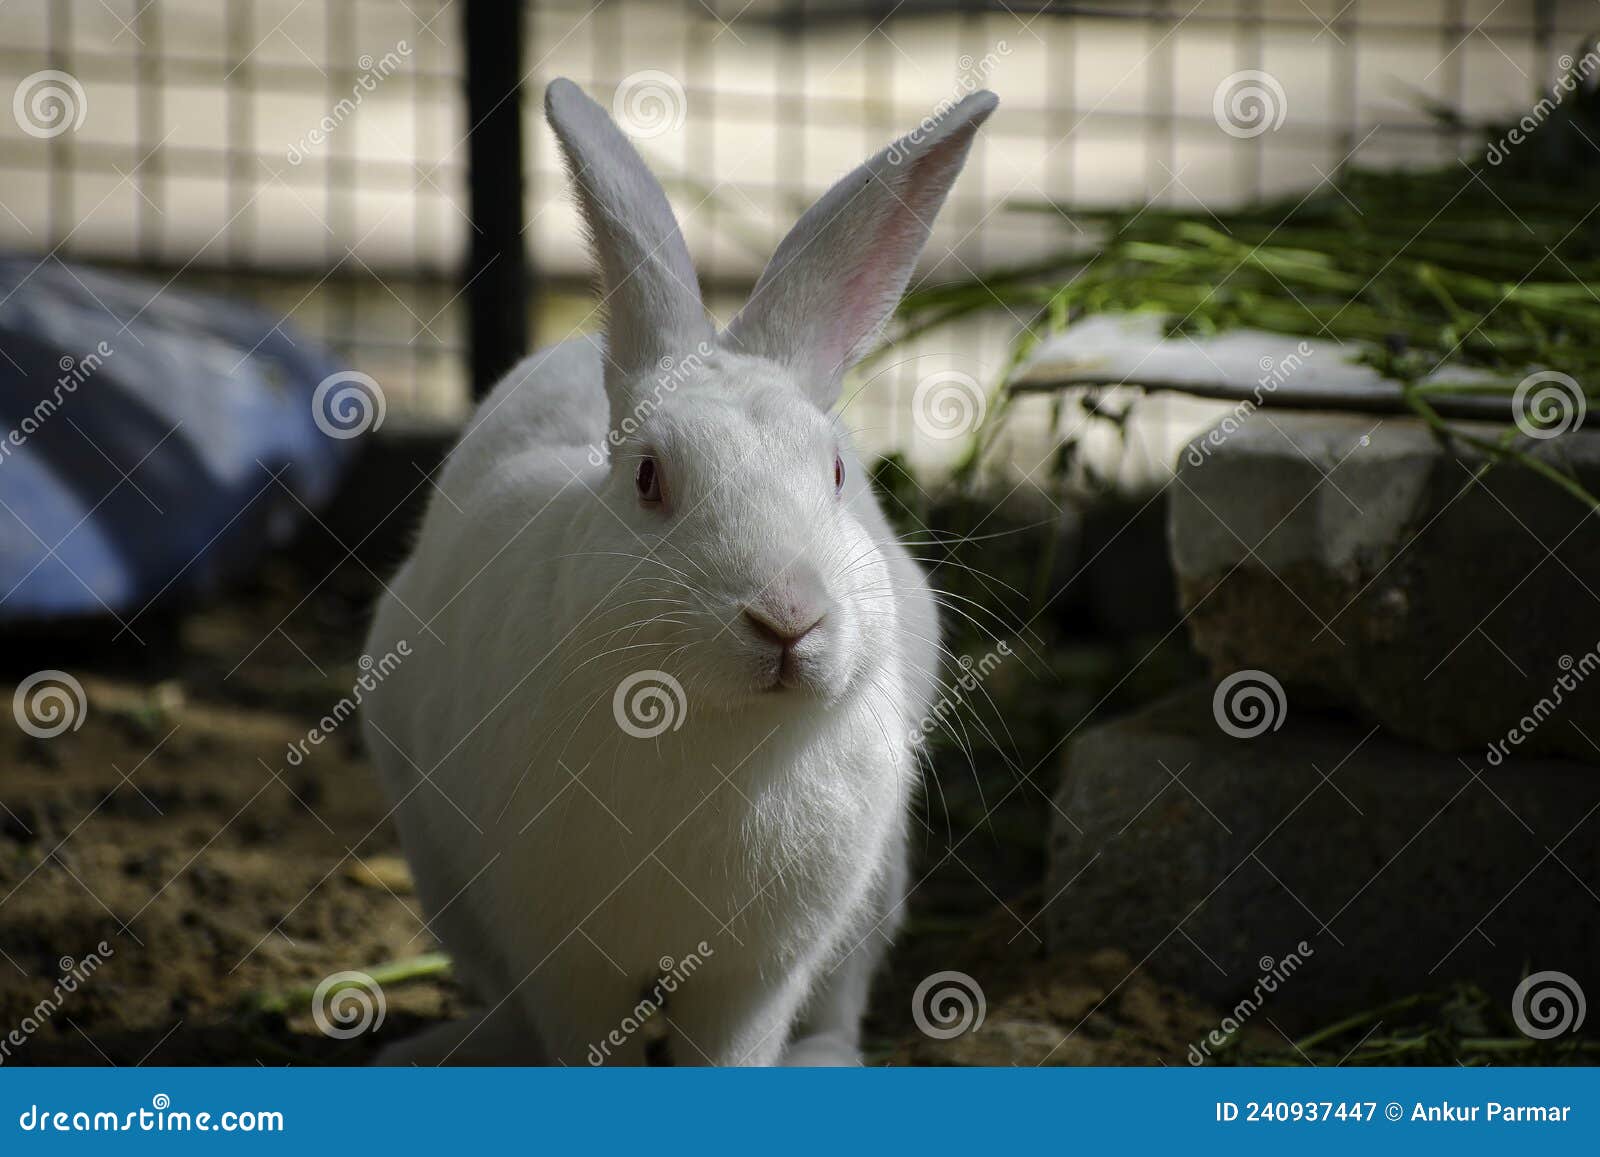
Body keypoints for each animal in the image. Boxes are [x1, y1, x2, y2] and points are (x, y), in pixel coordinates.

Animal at [362, 77, 996, 1067]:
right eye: (649, 478)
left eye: (838, 473)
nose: (787, 616)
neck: (716, 726)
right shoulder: (565, 961)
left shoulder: (758, 974)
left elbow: (734, 1048)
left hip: (873, 895)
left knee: (842, 1002)